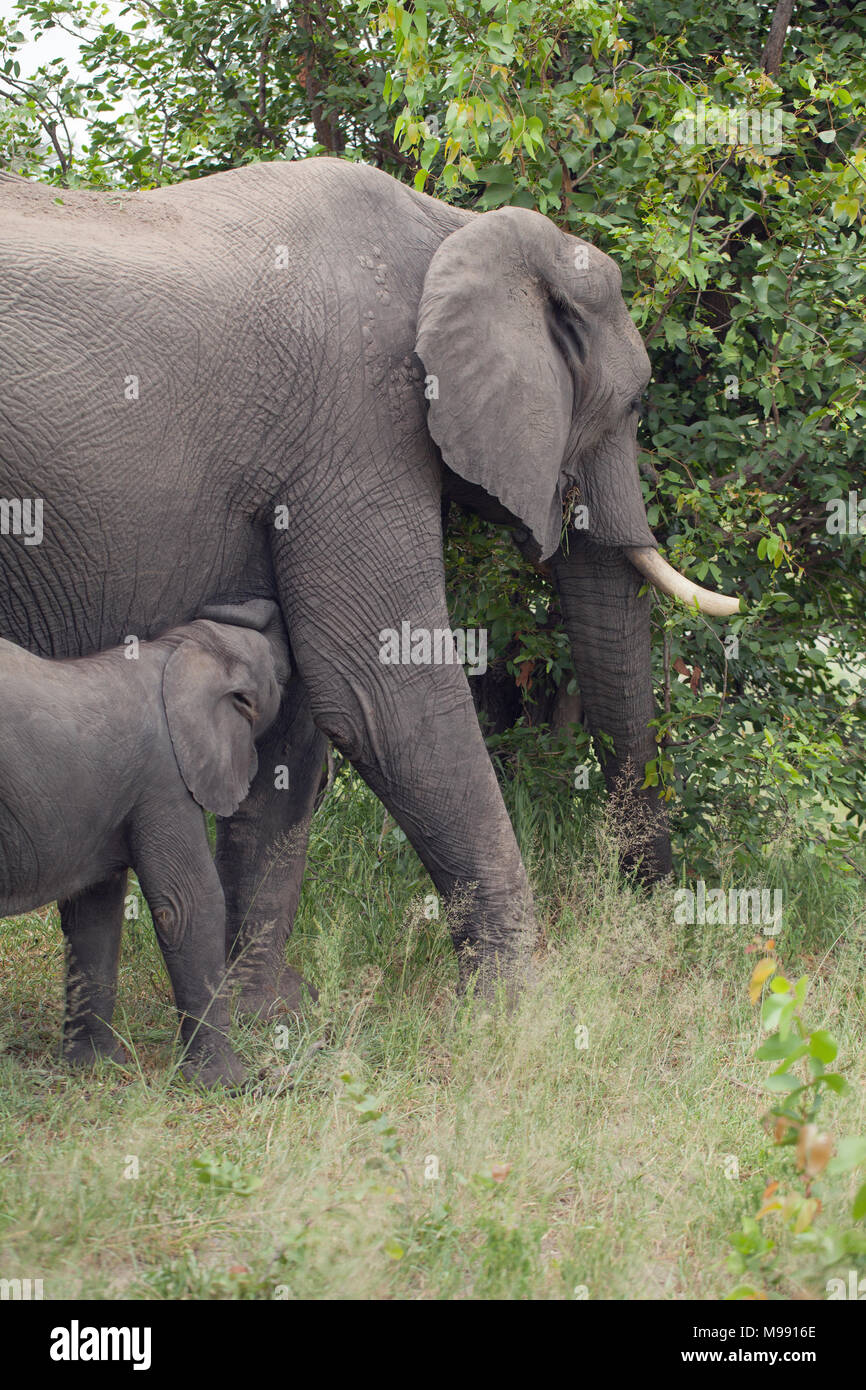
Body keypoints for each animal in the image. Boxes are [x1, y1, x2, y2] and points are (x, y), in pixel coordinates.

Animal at [0, 157, 738, 1007]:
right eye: (637, 401)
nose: (650, 918)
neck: (452, 225)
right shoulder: (358, 420)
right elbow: (380, 691)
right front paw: (517, 1008)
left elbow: (294, 713)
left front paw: (266, 1013)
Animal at [0, 602, 289, 1084]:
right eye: (279, 679)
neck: (177, 649)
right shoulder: (164, 779)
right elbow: (188, 905)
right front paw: (232, 1085)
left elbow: (94, 915)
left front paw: (94, 1069)